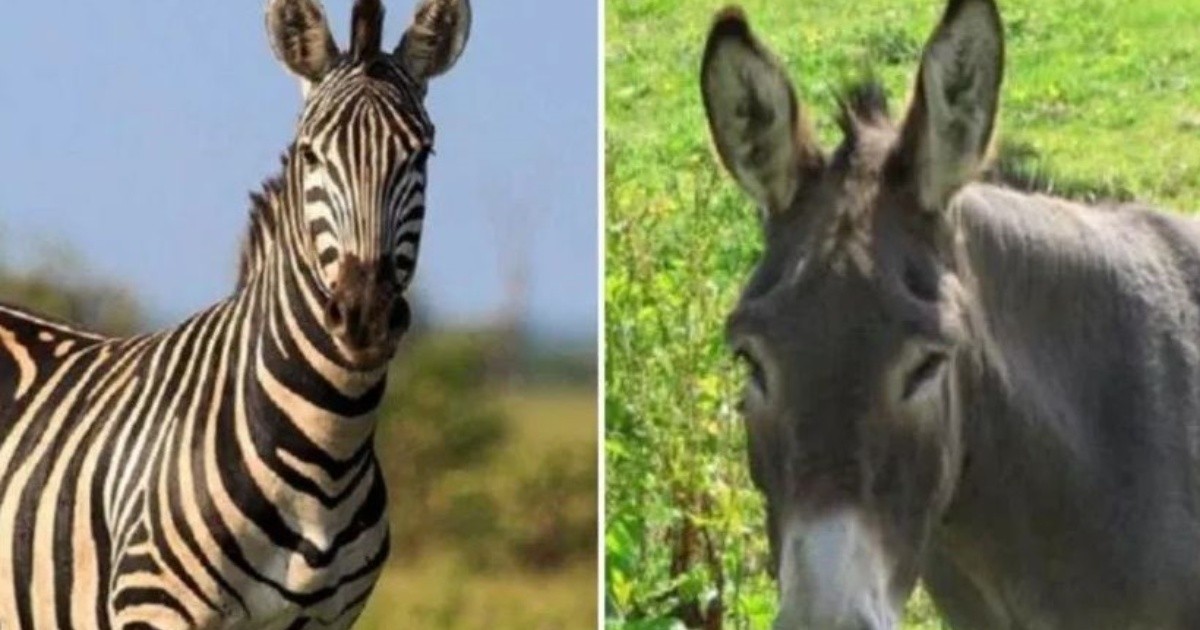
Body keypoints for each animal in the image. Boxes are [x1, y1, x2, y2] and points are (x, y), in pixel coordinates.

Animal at [0, 0, 469, 627]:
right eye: (310, 154)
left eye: (421, 154)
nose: (365, 314)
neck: (329, 452)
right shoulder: (156, 607)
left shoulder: (331, 619)